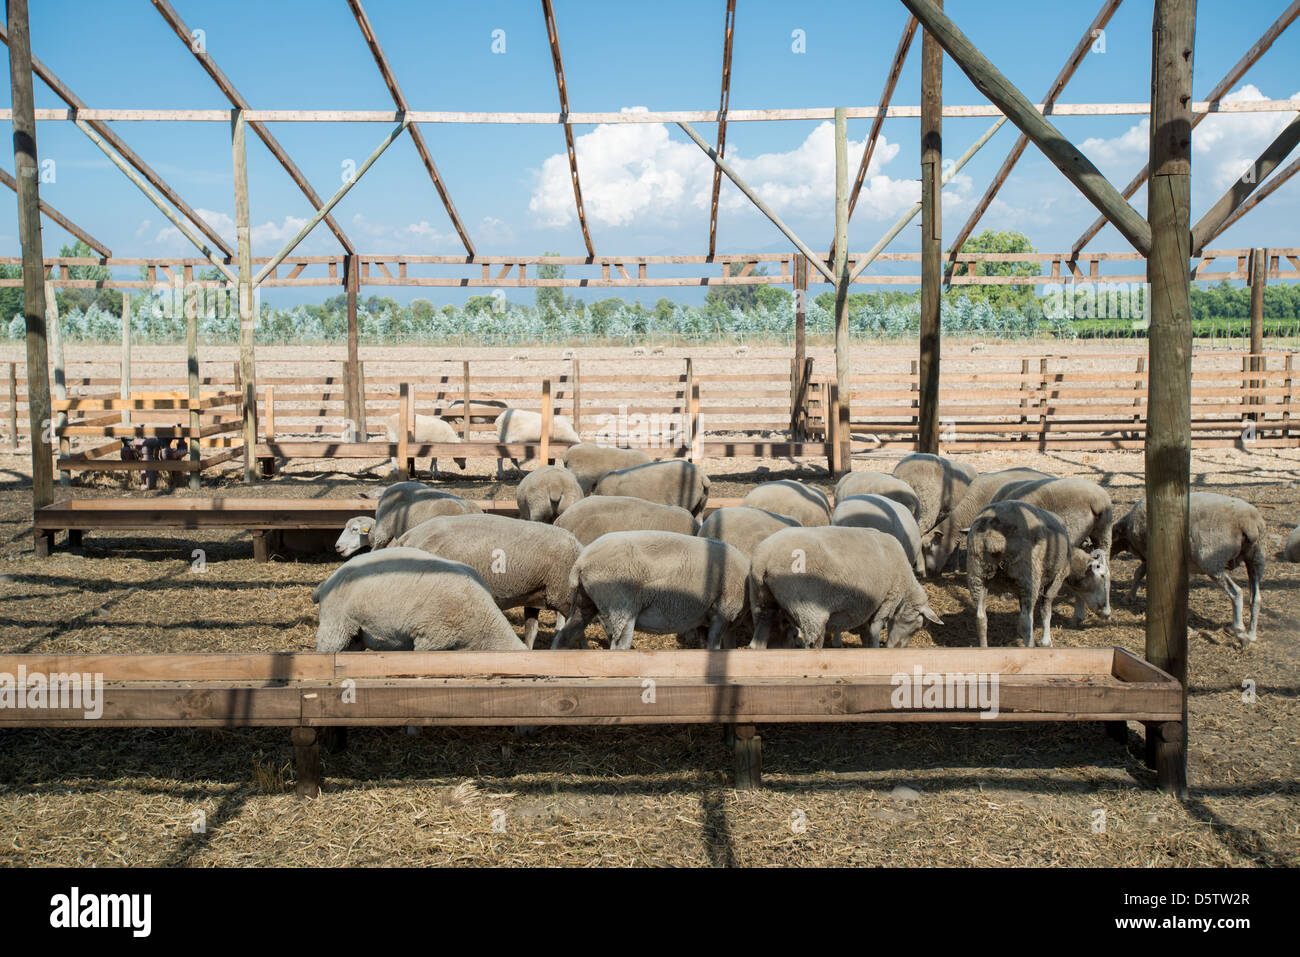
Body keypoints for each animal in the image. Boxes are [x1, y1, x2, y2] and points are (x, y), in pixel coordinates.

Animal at [552, 531, 749, 650]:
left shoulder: (703, 618)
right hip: (621, 607)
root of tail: (580, 563)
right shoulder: (723, 612)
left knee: (564, 635)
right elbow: (715, 646)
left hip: (584, 602)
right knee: (619, 647)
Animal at [748, 525, 943, 649]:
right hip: (808, 608)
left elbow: (865, 633)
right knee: (813, 642)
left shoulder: (866, 608)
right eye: (916, 627)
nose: (895, 648)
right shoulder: (887, 601)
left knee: (758, 638)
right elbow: (874, 631)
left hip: (761, 600)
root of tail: (764, 558)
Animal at [967, 501, 1109, 649]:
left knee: (981, 619)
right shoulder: (1057, 578)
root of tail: (993, 538)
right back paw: (1031, 644)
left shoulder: (1019, 589)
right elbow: (1046, 609)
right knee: (1026, 623)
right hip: (1029, 577)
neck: (1071, 562)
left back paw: (984, 647)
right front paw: (1046, 641)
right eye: (1102, 576)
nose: (1106, 611)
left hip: (977, 575)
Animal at [1111, 492, 1267, 643]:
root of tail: (1249, 523)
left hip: (1212, 560)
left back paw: (1239, 629)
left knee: (1236, 592)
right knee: (1256, 598)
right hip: (1256, 558)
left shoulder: (1149, 553)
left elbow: (1138, 573)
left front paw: (1129, 597)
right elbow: (1141, 573)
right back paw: (1251, 635)